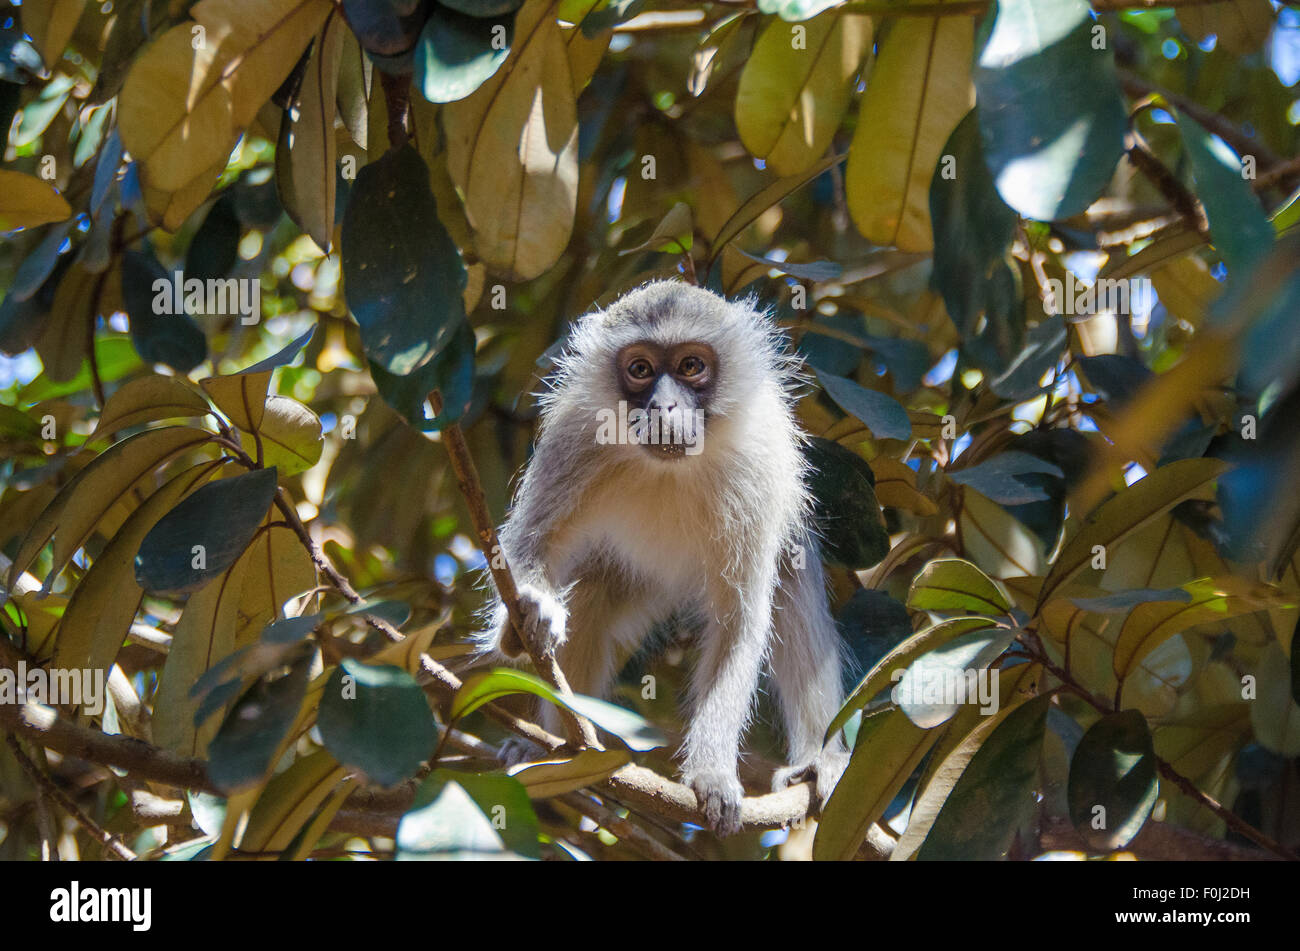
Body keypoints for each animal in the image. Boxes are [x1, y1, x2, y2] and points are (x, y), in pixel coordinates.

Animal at [478, 280, 849, 835]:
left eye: (691, 365)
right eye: (640, 369)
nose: (663, 408)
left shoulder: (759, 468)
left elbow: (740, 621)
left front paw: (712, 773)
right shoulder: (573, 439)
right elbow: (529, 545)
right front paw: (529, 616)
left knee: (790, 577)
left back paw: (817, 759)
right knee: (592, 593)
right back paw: (562, 750)